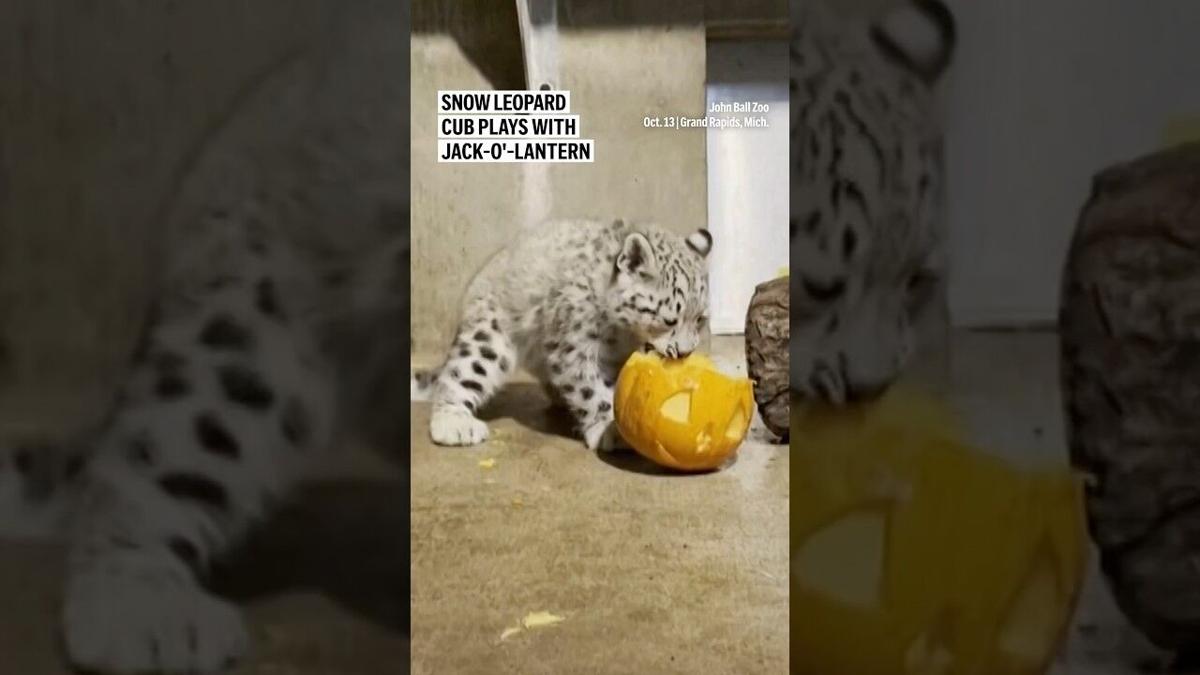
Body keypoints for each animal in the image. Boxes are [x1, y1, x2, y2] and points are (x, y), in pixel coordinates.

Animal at [412, 218, 712, 452]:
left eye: (700, 319)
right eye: (669, 320)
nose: (684, 352)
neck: (623, 335)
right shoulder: (576, 347)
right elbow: (592, 389)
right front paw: (610, 428)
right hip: (487, 339)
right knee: (458, 374)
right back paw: (453, 423)